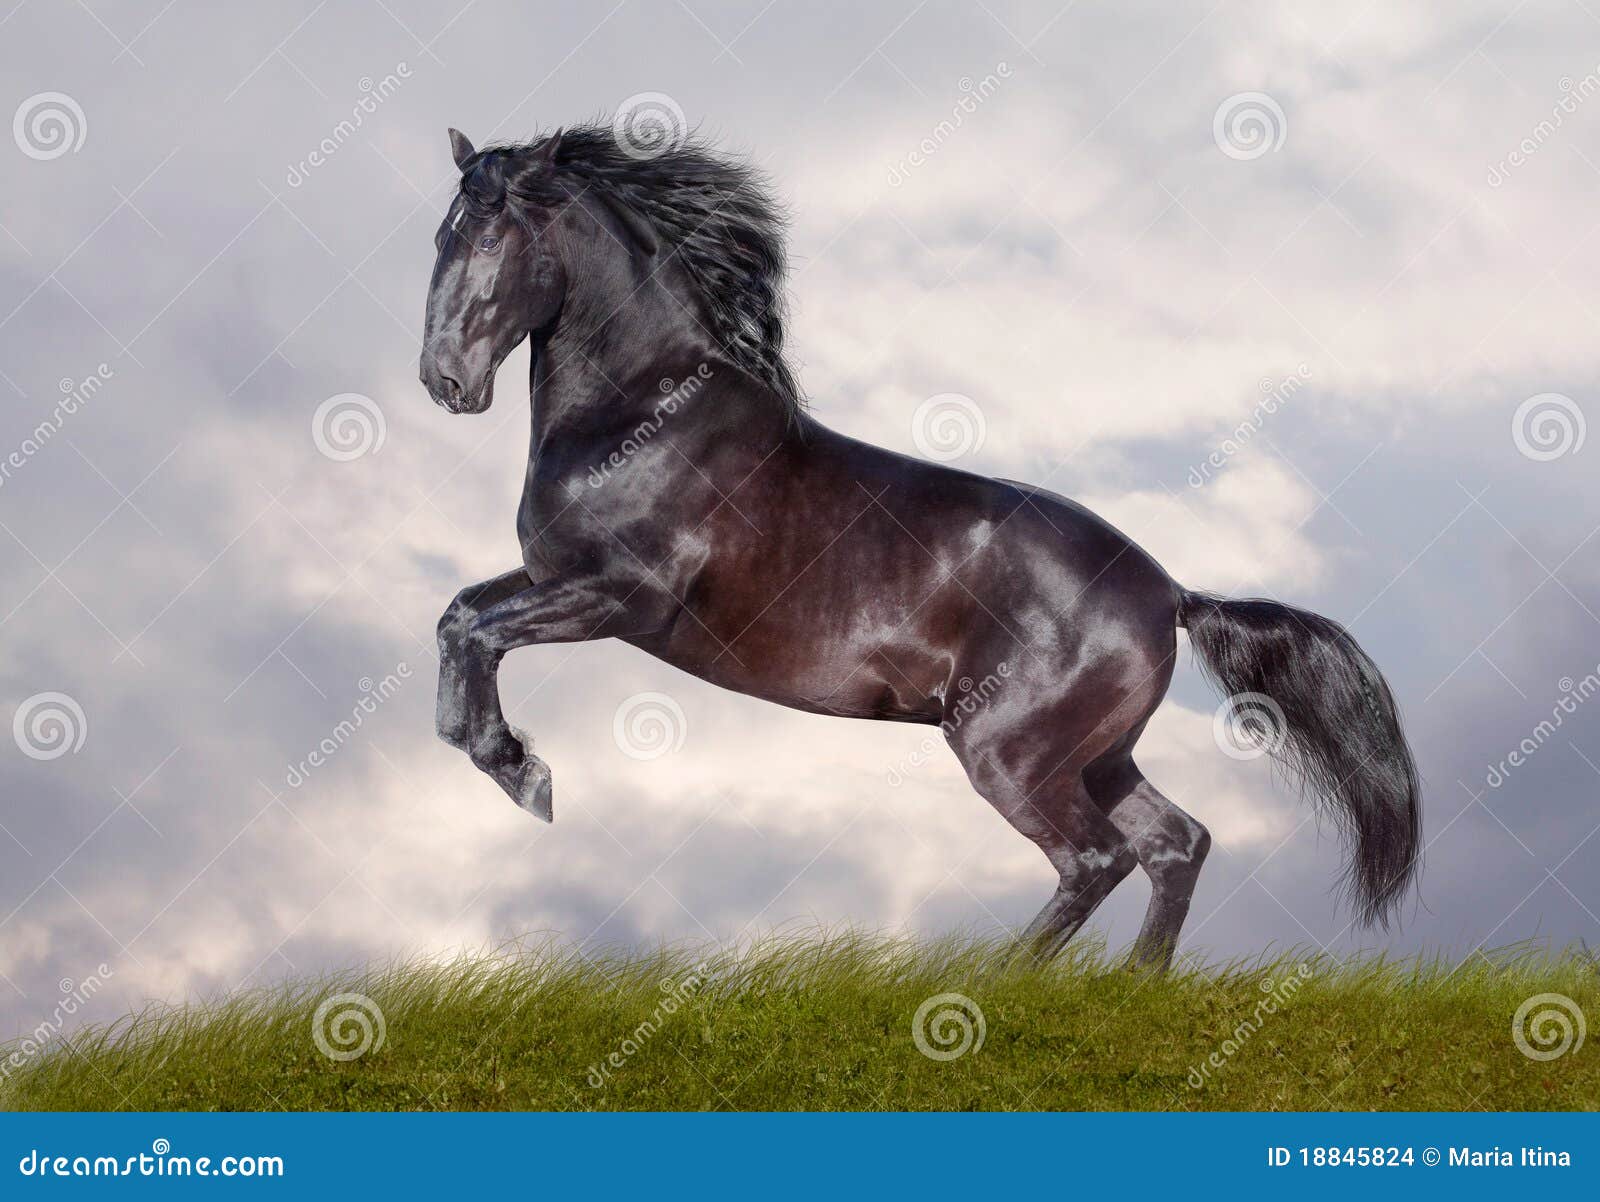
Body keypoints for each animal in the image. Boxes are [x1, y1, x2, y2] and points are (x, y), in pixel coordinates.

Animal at [419, 125, 1421, 970]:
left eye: (492, 239)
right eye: (442, 236)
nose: (445, 382)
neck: (641, 414)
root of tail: (1169, 592)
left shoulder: (621, 596)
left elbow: (476, 630)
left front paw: (524, 774)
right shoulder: (554, 576)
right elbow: (459, 616)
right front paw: (506, 759)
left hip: (1007, 750)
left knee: (1097, 859)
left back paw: (1000, 985)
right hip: (1095, 756)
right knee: (1176, 843)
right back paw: (1135, 986)